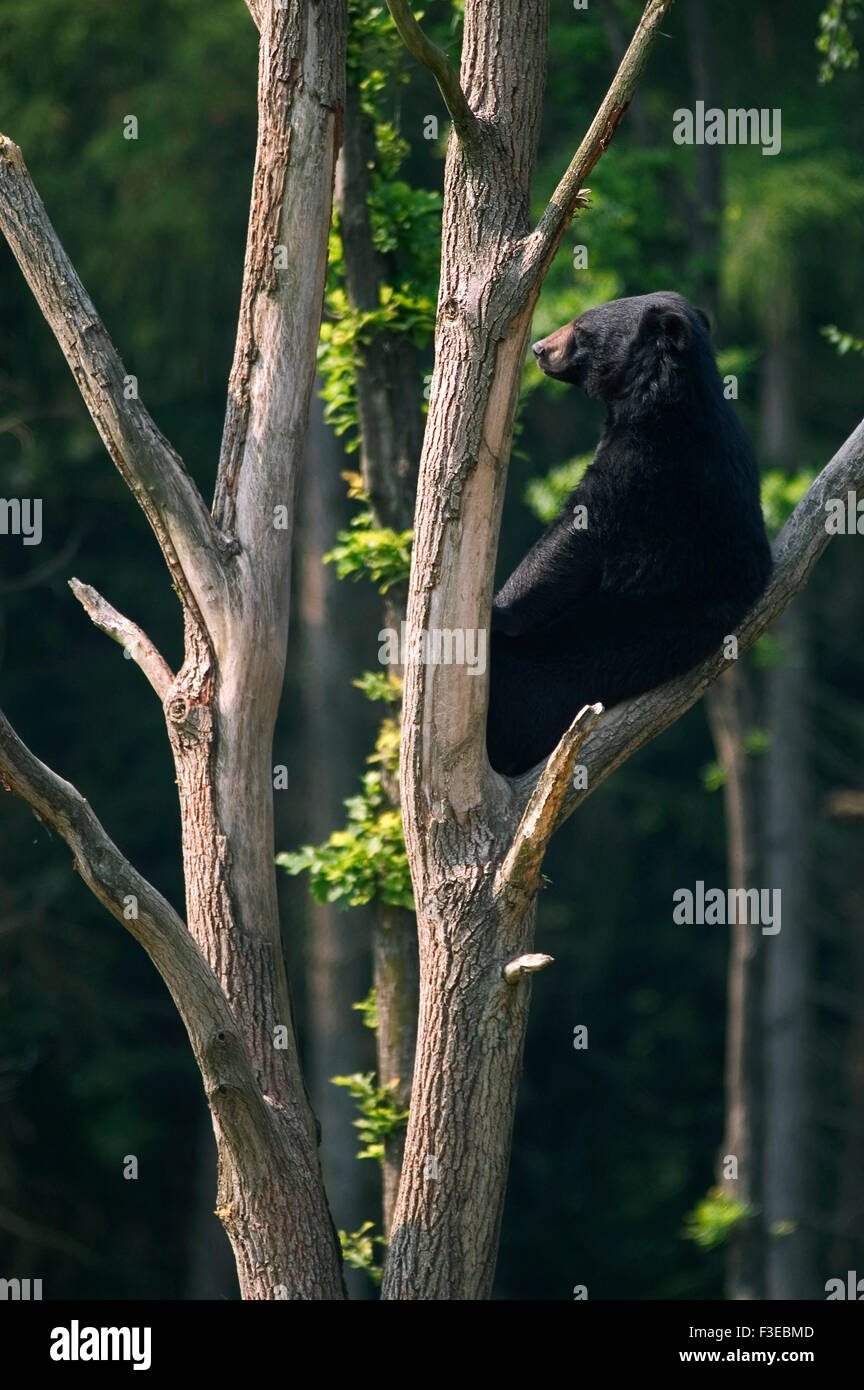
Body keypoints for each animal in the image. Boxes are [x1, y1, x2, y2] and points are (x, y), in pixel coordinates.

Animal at [486, 291, 773, 776]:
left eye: (582, 328)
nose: (540, 349)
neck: (658, 400)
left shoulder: (646, 467)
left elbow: (575, 538)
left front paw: (498, 610)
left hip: (602, 644)